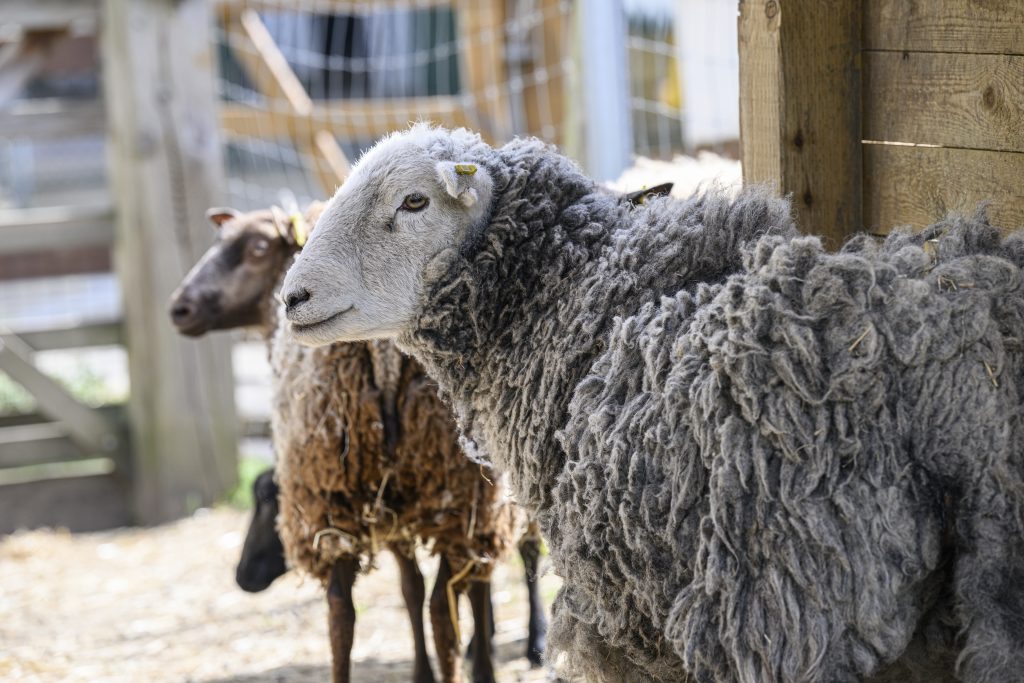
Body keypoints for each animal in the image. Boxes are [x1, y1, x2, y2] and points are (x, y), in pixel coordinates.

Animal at [169, 202, 548, 683]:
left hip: (358, 487)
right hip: (432, 486)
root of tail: (383, 348)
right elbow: (420, 588)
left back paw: (526, 643)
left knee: (351, 606)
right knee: (423, 603)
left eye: (256, 249)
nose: (179, 309)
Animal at [279, 124, 1024, 683]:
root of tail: (954, 373)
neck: (581, 307)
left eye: (413, 203)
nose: (292, 297)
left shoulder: (624, 616)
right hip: (984, 593)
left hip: (783, 606)